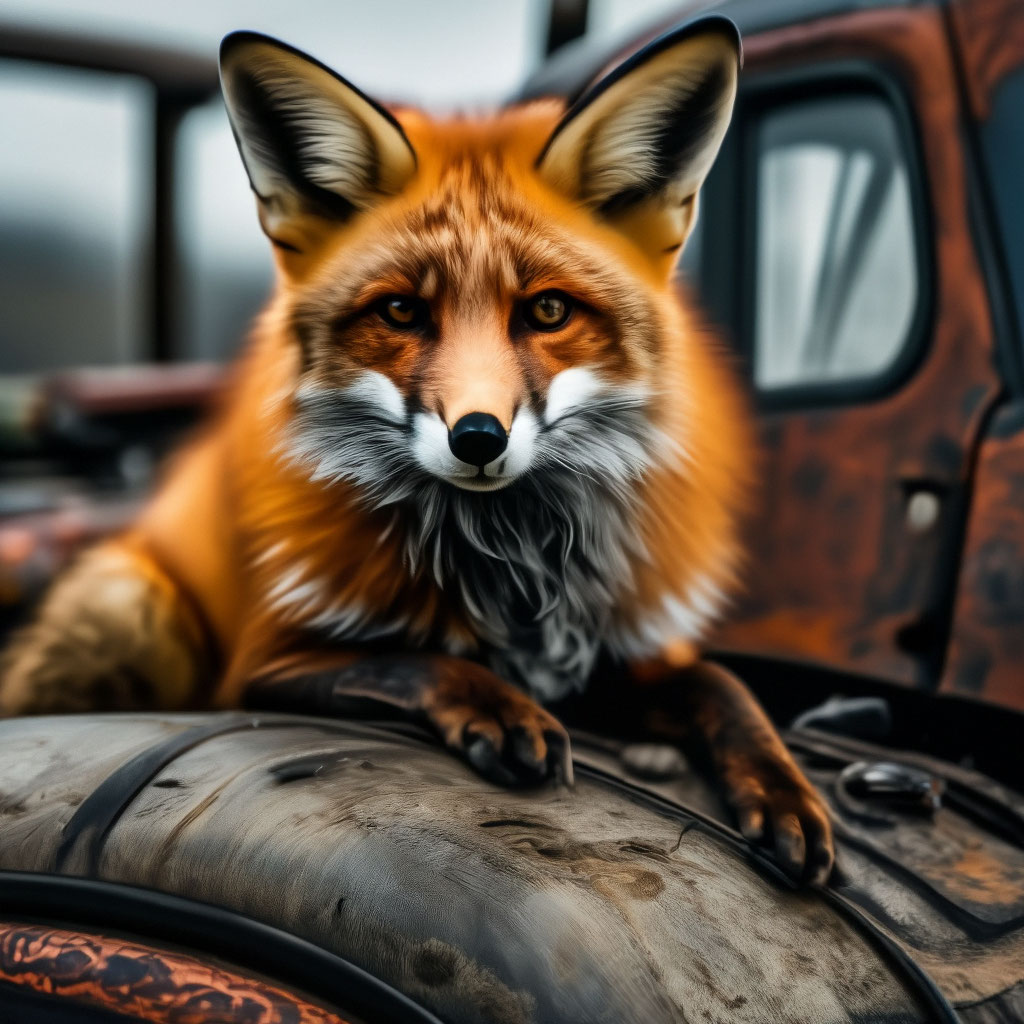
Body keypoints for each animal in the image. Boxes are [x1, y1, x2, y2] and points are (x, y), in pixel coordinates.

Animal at [1, 16, 833, 883]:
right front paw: (498, 709)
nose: (478, 437)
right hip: (137, 615)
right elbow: (417, 660)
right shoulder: (265, 667)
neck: (512, 567)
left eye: (548, 311)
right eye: (401, 311)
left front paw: (783, 792)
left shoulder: (603, 665)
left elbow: (721, 685)